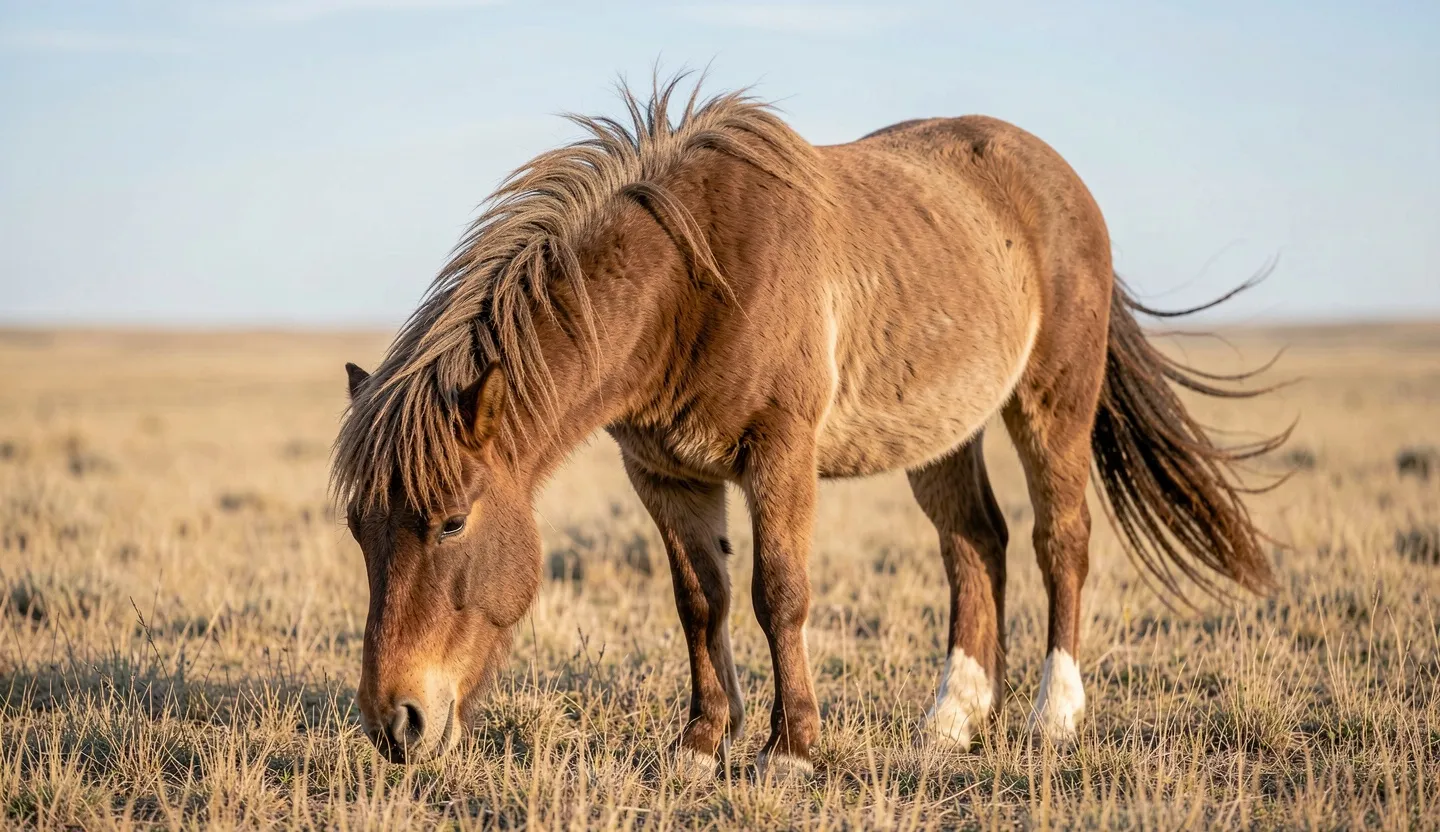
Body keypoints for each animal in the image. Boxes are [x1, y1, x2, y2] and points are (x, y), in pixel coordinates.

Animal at [332, 78, 1284, 775]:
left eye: (453, 521)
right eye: (359, 532)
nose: (395, 724)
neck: (691, 281)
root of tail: (1058, 177)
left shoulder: (780, 454)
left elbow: (776, 593)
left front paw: (788, 751)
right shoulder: (665, 473)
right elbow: (700, 602)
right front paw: (699, 745)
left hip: (1053, 400)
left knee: (1062, 541)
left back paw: (1053, 716)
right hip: (941, 432)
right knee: (977, 543)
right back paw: (951, 722)